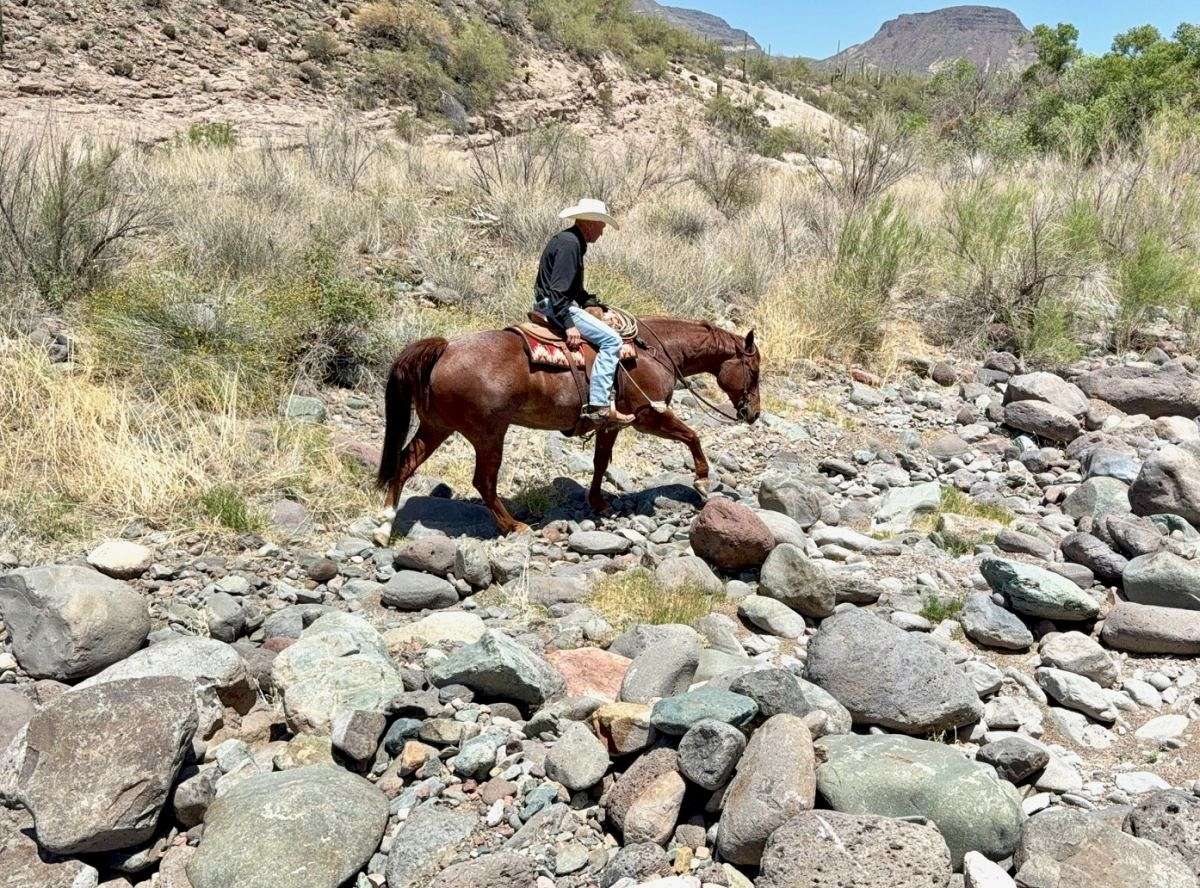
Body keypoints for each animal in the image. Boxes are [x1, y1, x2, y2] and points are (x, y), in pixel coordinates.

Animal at [376, 317, 761, 535]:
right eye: (755, 371)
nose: (754, 414)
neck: (655, 352)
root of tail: (445, 349)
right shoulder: (648, 416)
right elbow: (692, 436)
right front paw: (702, 479)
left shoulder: (611, 424)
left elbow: (601, 462)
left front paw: (599, 503)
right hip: (488, 433)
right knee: (483, 481)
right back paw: (514, 526)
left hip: (436, 427)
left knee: (405, 463)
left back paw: (384, 523)